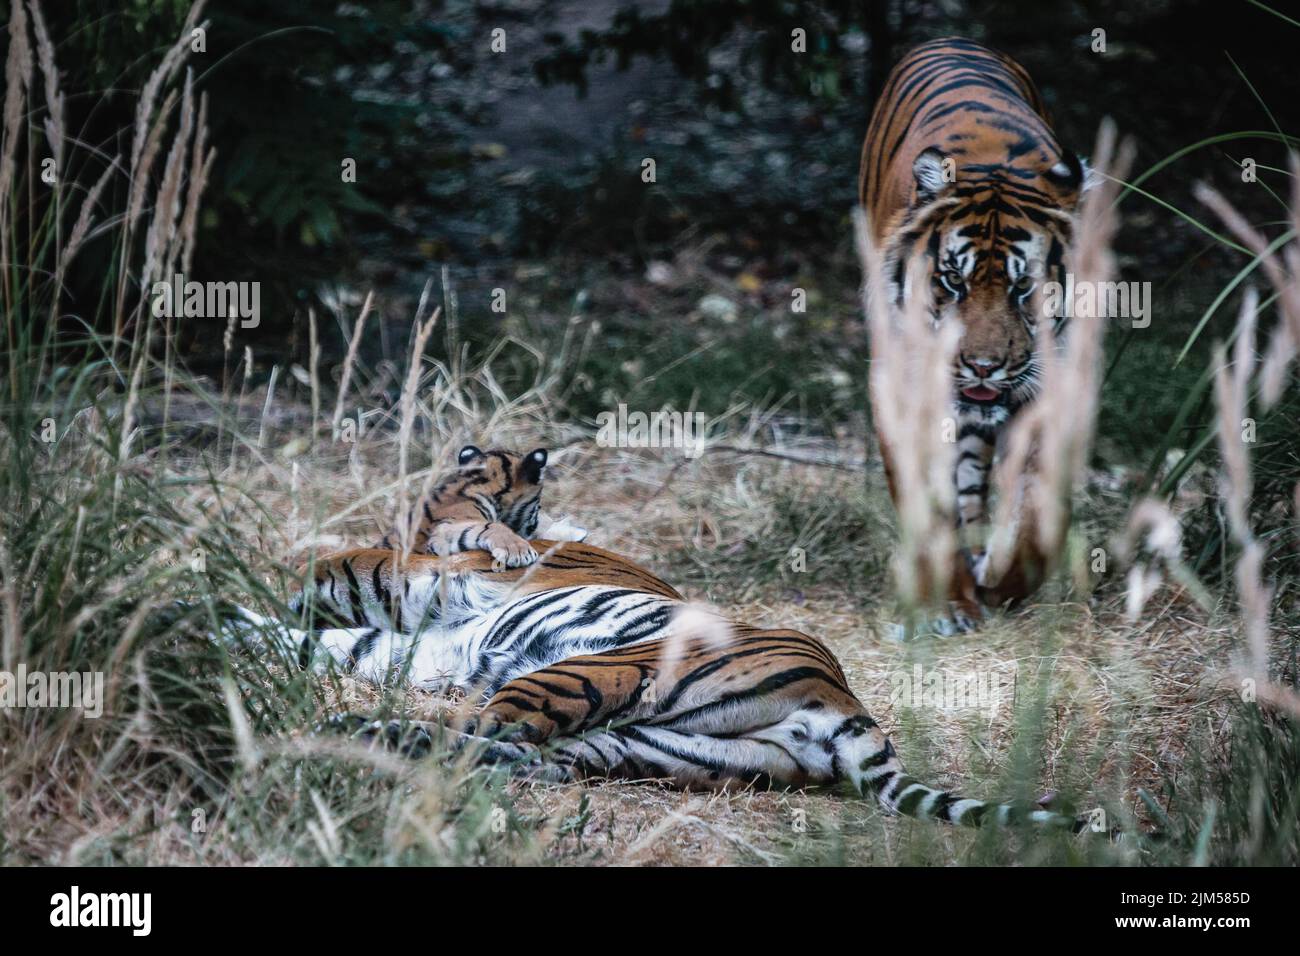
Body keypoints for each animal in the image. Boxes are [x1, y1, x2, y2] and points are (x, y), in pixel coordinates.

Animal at [225, 540, 1087, 831]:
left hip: (595, 669)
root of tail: (846, 703)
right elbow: (319, 642)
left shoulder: (438, 607)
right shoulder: (421, 646)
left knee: (491, 734)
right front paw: (220, 618)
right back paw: (364, 737)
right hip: (648, 745)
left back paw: (360, 741)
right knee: (517, 754)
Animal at [859, 37, 1095, 632]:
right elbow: (929, 506)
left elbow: (1037, 508)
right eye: (952, 280)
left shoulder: (1053, 383)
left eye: (1023, 287)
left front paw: (1002, 581)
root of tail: (951, 38)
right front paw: (949, 602)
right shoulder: (901, 387)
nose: (983, 367)